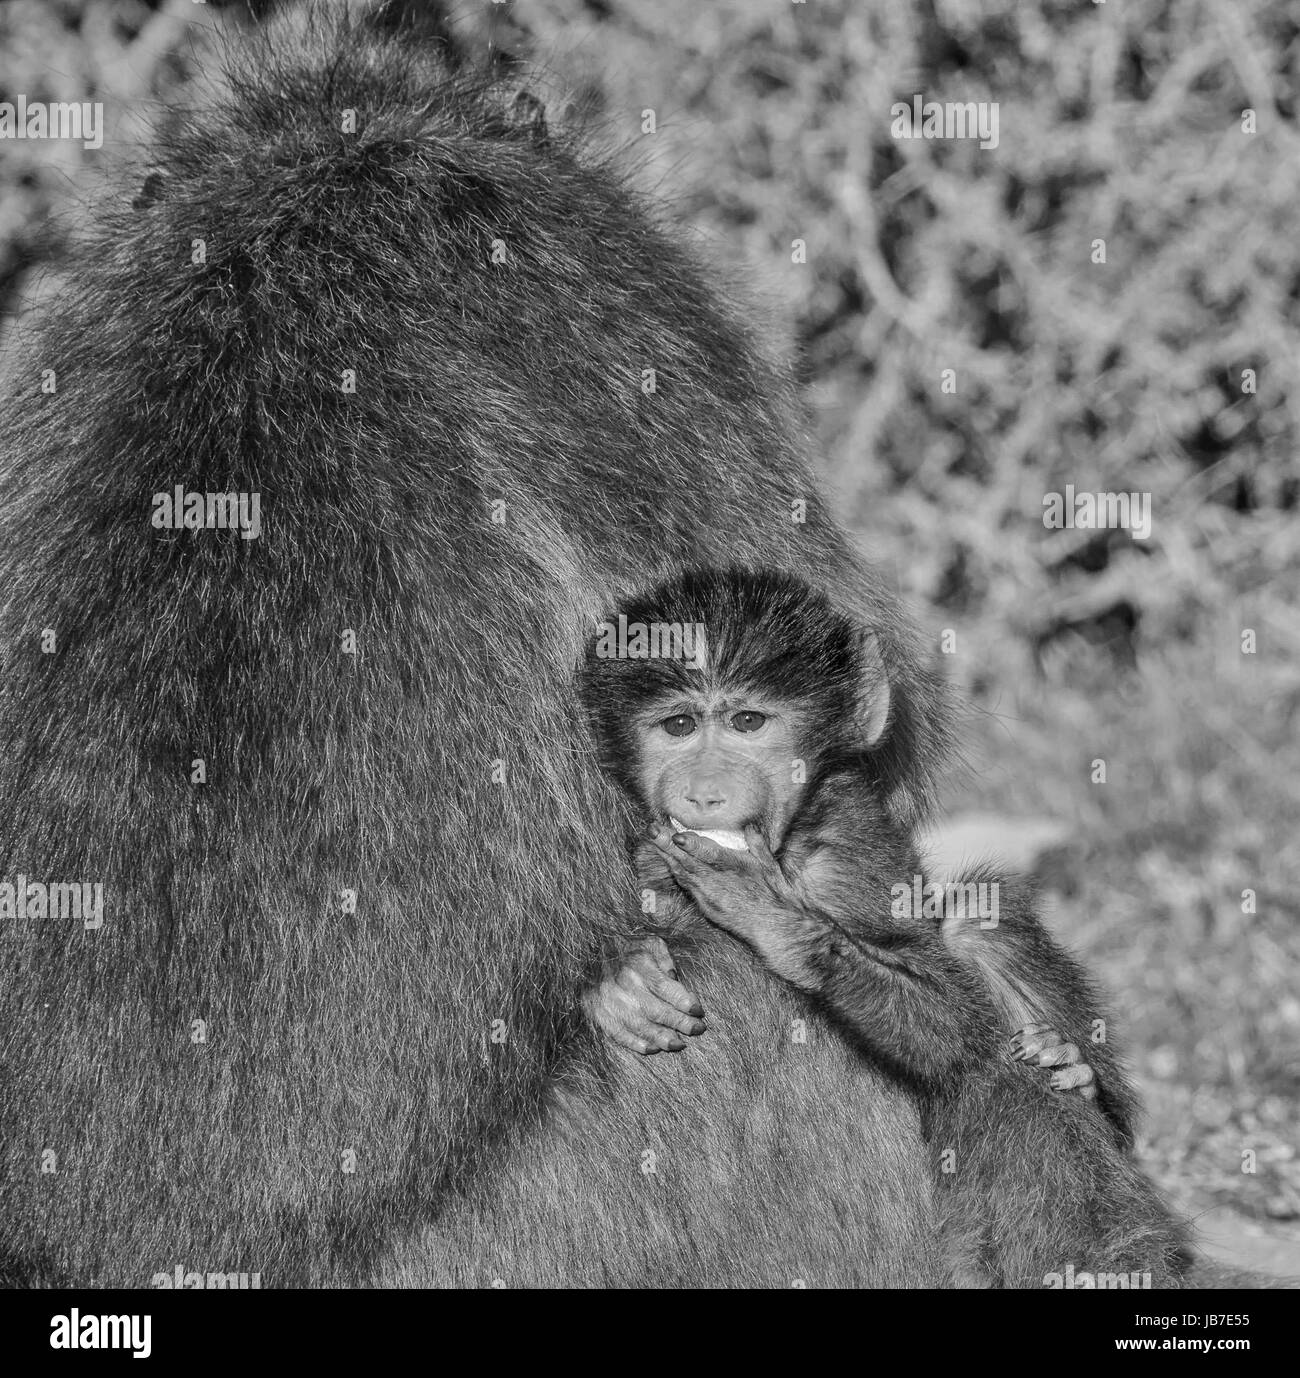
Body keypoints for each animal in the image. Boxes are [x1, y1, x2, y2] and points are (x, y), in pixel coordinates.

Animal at [576, 565, 1185, 1286]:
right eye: (677, 726)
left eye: (748, 722)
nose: (703, 793)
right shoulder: (655, 851)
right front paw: (624, 983)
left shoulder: (845, 854)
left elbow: (952, 1017)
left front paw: (769, 917)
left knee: (979, 935)